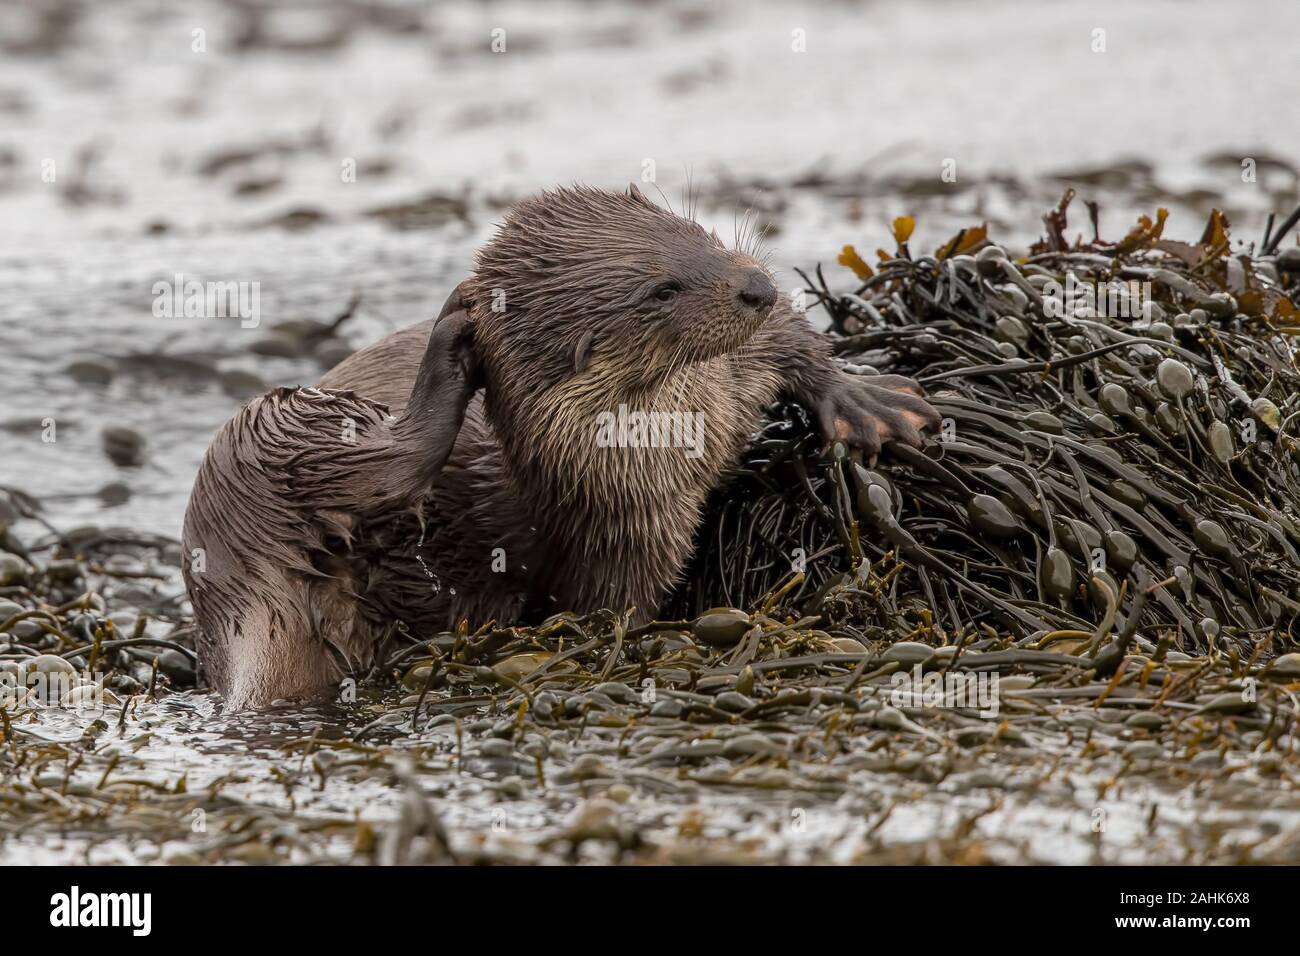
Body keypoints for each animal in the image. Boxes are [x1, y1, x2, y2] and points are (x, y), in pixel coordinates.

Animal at [182, 185, 938, 709]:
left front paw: (867, 402)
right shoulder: (632, 524)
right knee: (389, 462)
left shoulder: (737, 367)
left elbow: (792, 338)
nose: (754, 285)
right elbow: (610, 603)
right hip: (269, 440)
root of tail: (230, 586)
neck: (698, 428)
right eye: (663, 290)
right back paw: (447, 349)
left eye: (692, 231)